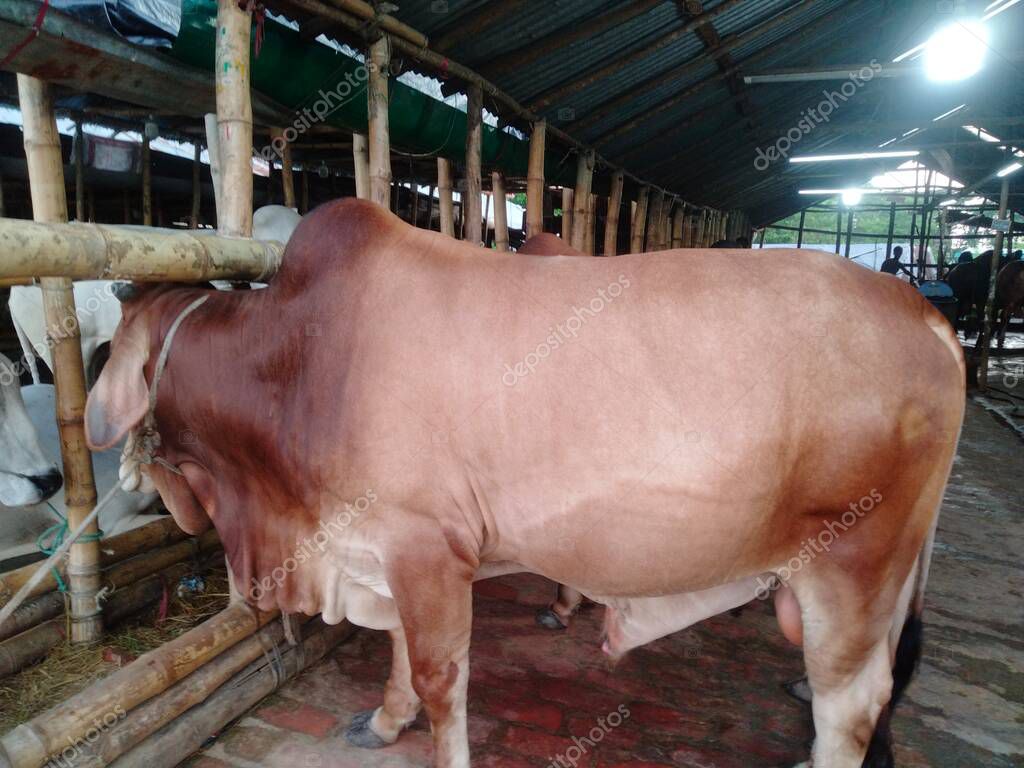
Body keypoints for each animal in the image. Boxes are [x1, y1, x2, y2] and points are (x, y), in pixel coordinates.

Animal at [85, 199, 965, 768]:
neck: (301, 361)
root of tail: (925, 314)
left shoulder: (424, 545)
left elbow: (442, 678)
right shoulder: (389, 547)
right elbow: (398, 646)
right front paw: (385, 718)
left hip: (852, 569)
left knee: (853, 707)